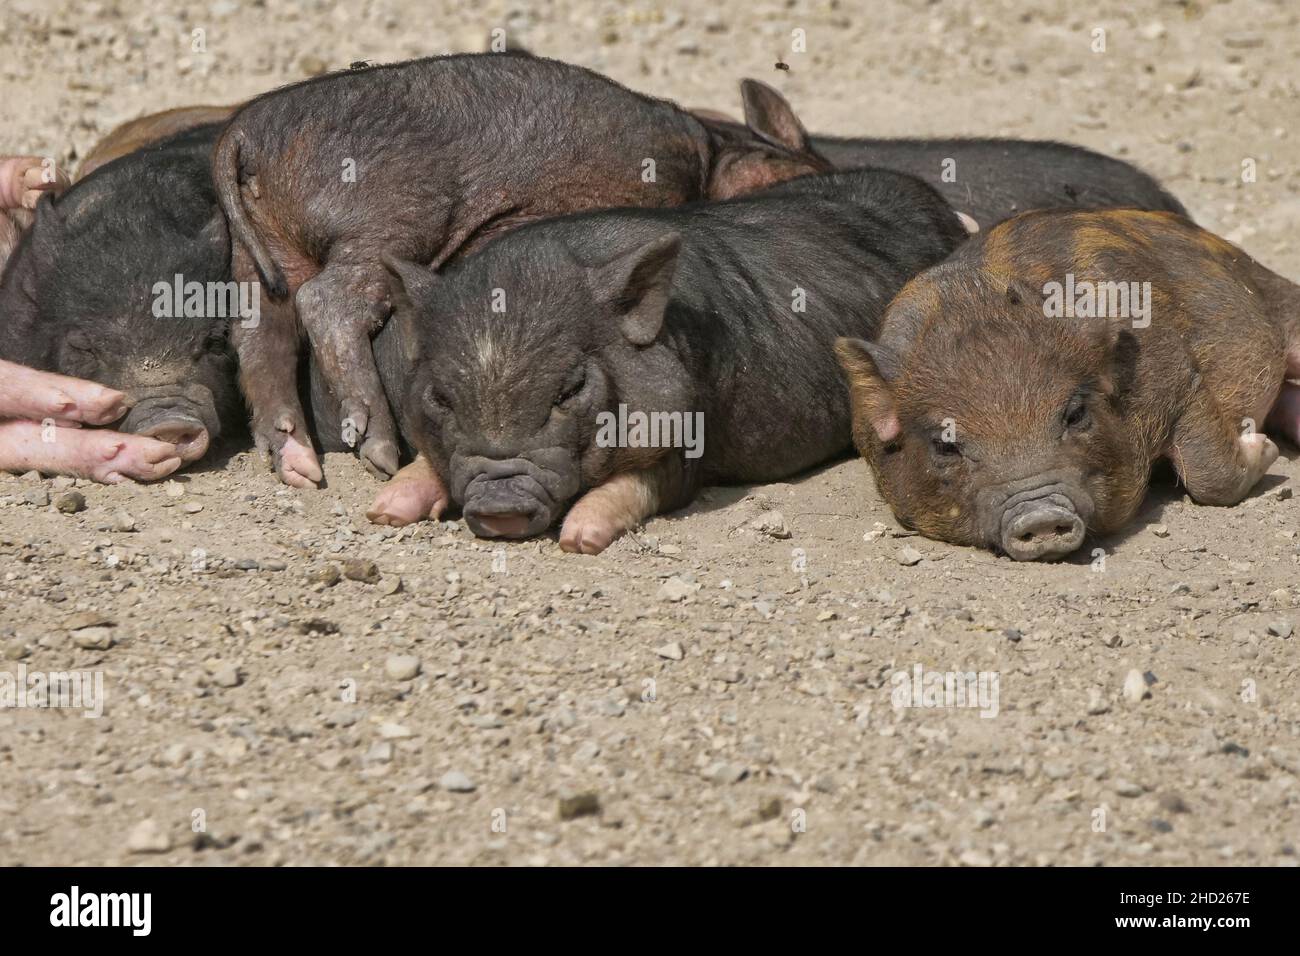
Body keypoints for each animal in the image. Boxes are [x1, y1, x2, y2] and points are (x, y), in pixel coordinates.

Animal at [212, 55, 831, 489]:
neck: (712, 164)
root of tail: (244, 132)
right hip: (391, 213)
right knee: (326, 300)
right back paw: (380, 454)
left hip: (263, 251)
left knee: (259, 329)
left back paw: (298, 466)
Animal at [349, 165, 970, 551]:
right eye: (439, 396)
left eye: (570, 389)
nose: (500, 501)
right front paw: (383, 509)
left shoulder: (692, 431)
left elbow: (643, 484)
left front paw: (579, 540)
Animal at [836, 208, 1300, 561]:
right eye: (945, 444)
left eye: (1074, 414)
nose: (1039, 515)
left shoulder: (1178, 376)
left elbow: (1208, 473)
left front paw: (1267, 451)